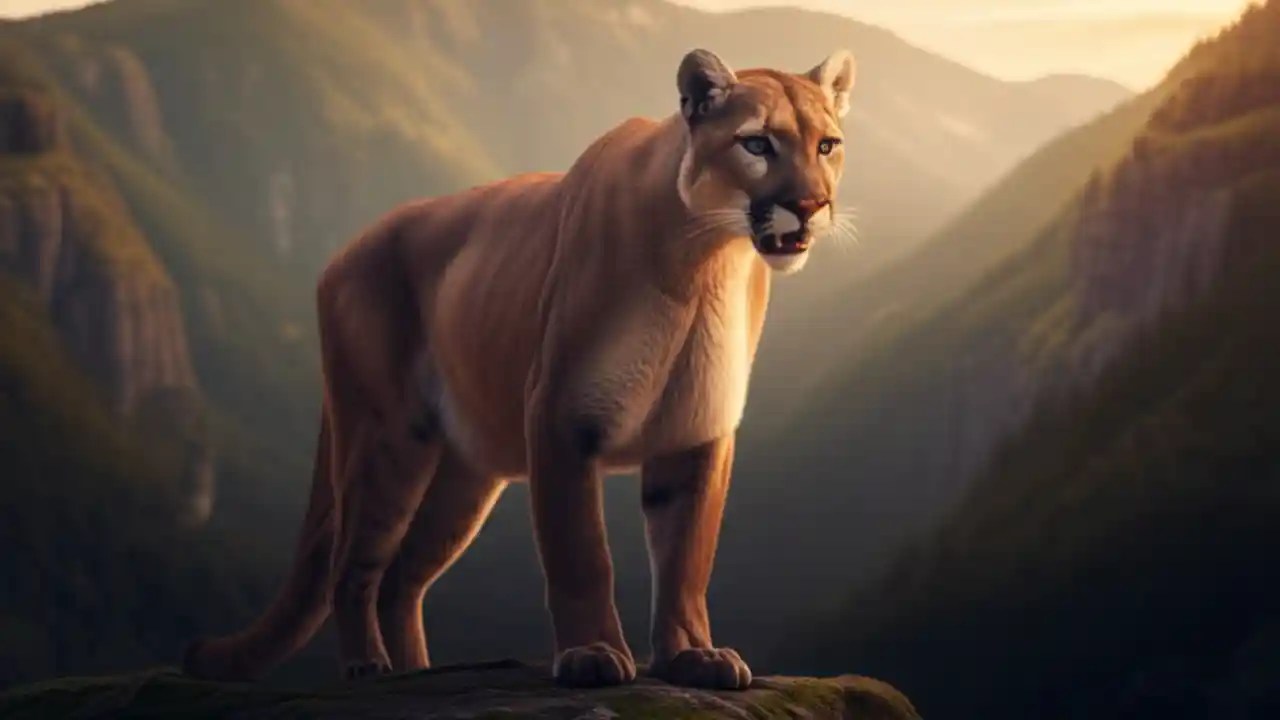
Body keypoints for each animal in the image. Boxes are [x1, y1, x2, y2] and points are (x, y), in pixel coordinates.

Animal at [183, 47, 856, 690]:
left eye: (826, 144)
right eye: (756, 143)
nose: (809, 205)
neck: (703, 260)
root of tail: (341, 254)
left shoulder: (697, 430)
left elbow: (687, 556)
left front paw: (694, 655)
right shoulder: (561, 415)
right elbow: (581, 551)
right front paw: (592, 655)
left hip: (465, 475)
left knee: (403, 576)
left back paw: (417, 670)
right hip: (387, 437)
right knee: (352, 564)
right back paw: (367, 667)